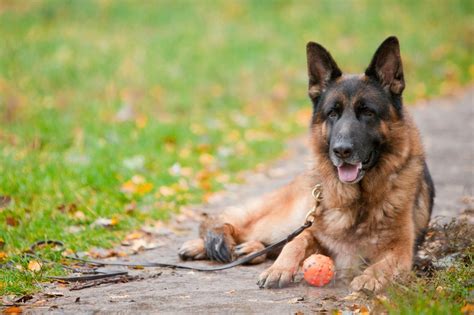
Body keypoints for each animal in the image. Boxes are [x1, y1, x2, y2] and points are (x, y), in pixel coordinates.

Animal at [178, 37, 434, 294]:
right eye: (332, 113)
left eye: (368, 112)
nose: (341, 150)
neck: (356, 200)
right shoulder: (313, 232)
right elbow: (296, 242)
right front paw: (278, 270)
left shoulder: (400, 250)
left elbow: (384, 264)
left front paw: (370, 278)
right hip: (284, 220)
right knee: (241, 226)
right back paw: (203, 245)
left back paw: (249, 250)